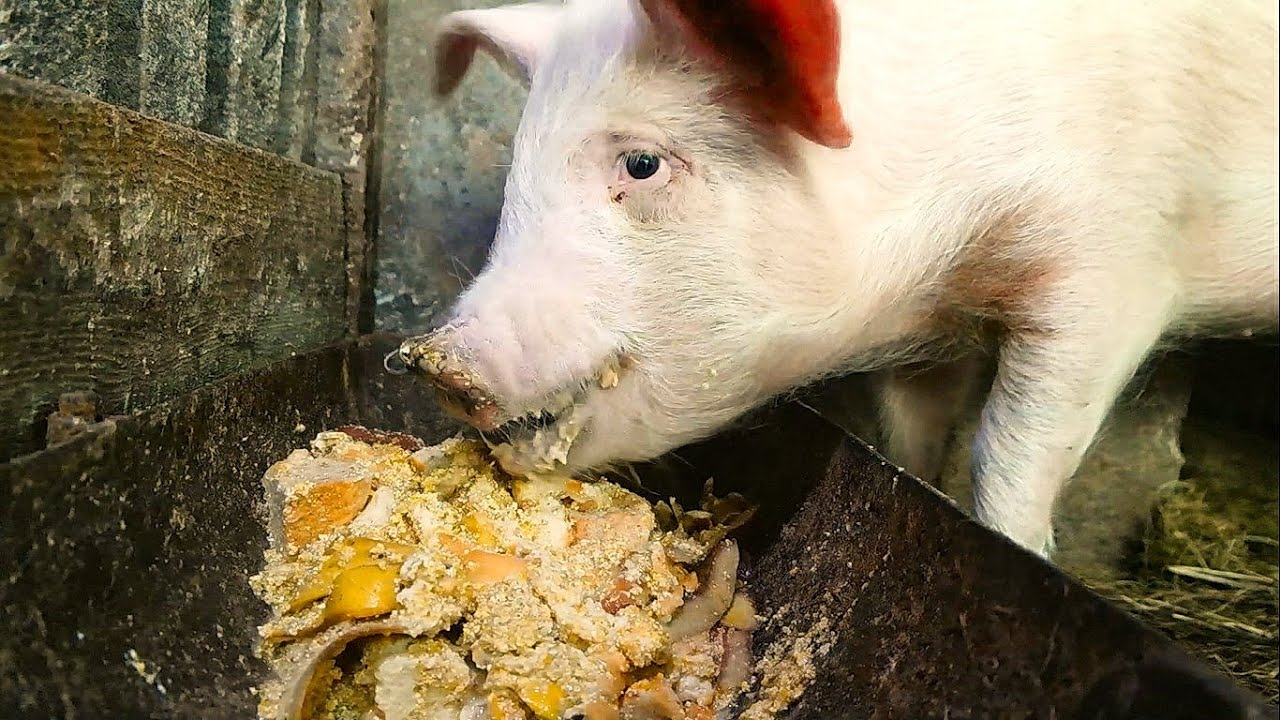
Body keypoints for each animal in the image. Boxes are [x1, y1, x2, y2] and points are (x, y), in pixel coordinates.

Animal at [401, 0, 1279, 557]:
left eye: (642, 164)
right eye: (518, 167)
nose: (440, 360)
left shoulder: (1111, 266)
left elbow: (1013, 450)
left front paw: (1019, 550)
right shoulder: (928, 340)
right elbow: (910, 432)